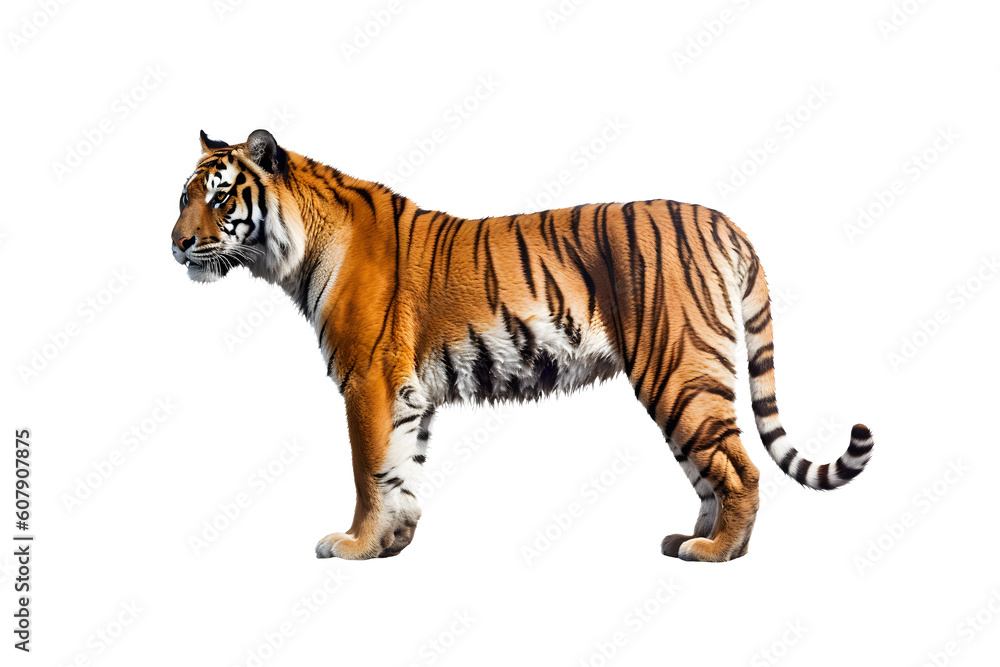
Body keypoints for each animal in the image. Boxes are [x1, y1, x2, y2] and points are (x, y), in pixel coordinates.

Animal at [170, 129, 874, 562]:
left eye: (222, 197)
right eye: (183, 197)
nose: (176, 244)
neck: (292, 250)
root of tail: (723, 220)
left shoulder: (366, 381)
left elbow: (368, 471)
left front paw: (353, 545)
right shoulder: (408, 392)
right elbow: (402, 470)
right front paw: (392, 544)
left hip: (679, 369)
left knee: (740, 467)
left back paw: (717, 553)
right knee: (710, 471)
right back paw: (692, 540)